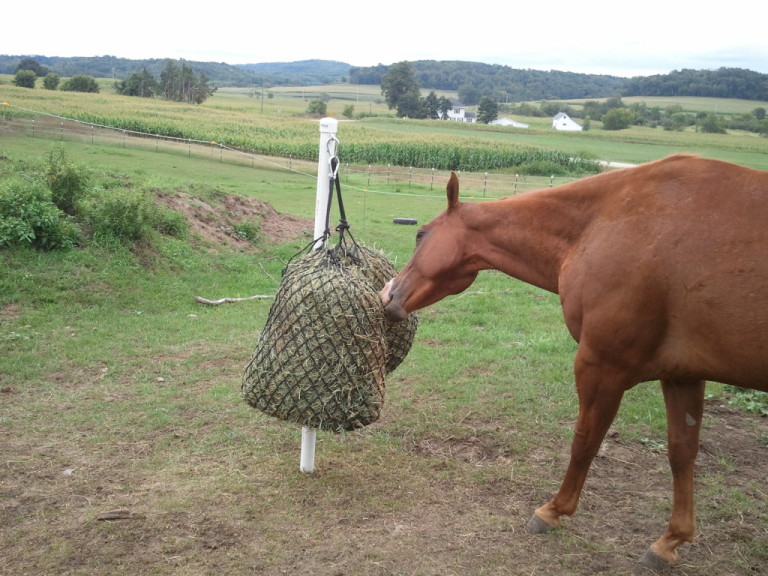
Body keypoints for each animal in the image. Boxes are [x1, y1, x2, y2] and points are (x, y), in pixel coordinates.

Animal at [380, 154, 768, 569]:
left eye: (421, 235)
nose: (388, 295)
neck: (602, 224)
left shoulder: (601, 366)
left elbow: (584, 441)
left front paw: (553, 511)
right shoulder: (683, 375)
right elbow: (682, 453)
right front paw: (670, 541)